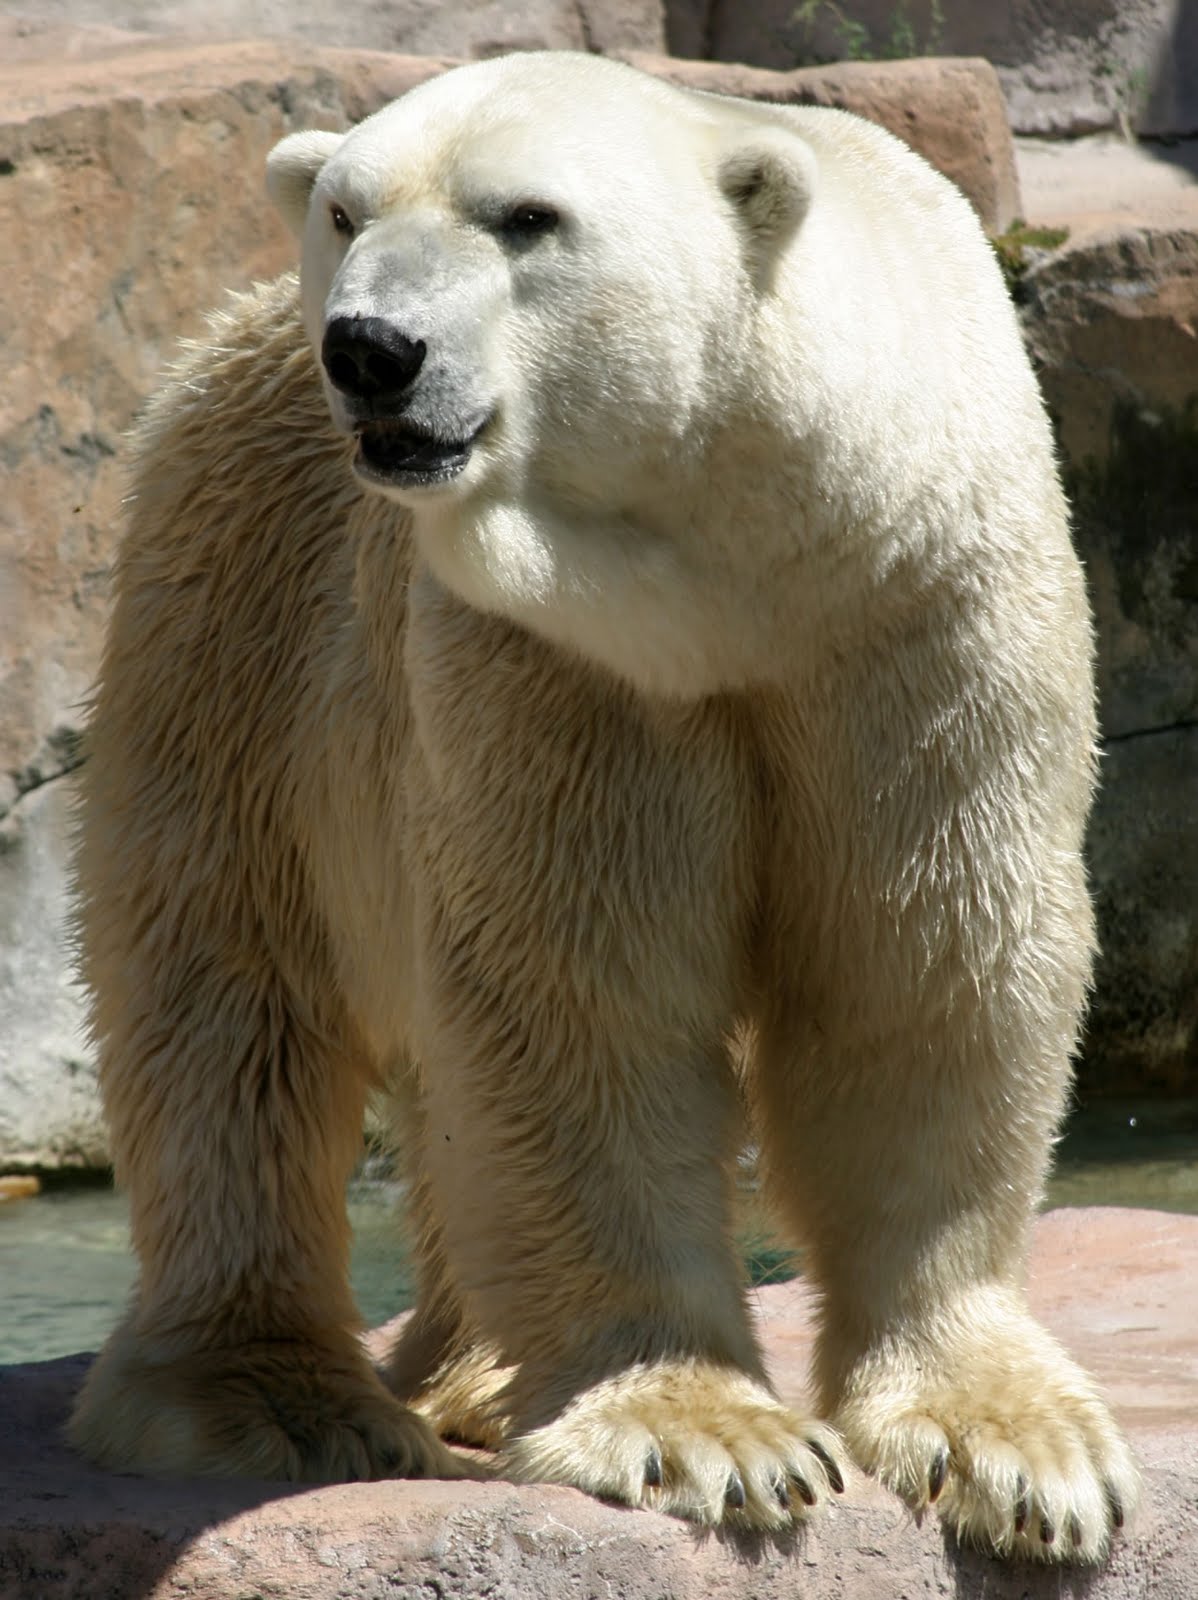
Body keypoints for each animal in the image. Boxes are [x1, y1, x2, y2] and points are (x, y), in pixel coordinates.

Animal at [69, 50, 1137, 1561]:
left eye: (526, 217)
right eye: (345, 210)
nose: (369, 347)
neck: (740, 563)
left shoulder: (918, 608)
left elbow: (920, 963)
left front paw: (1014, 1454)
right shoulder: (558, 656)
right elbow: (578, 990)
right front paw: (716, 1440)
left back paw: (466, 1376)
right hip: (237, 597)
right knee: (221, 988)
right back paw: (273, 1397)